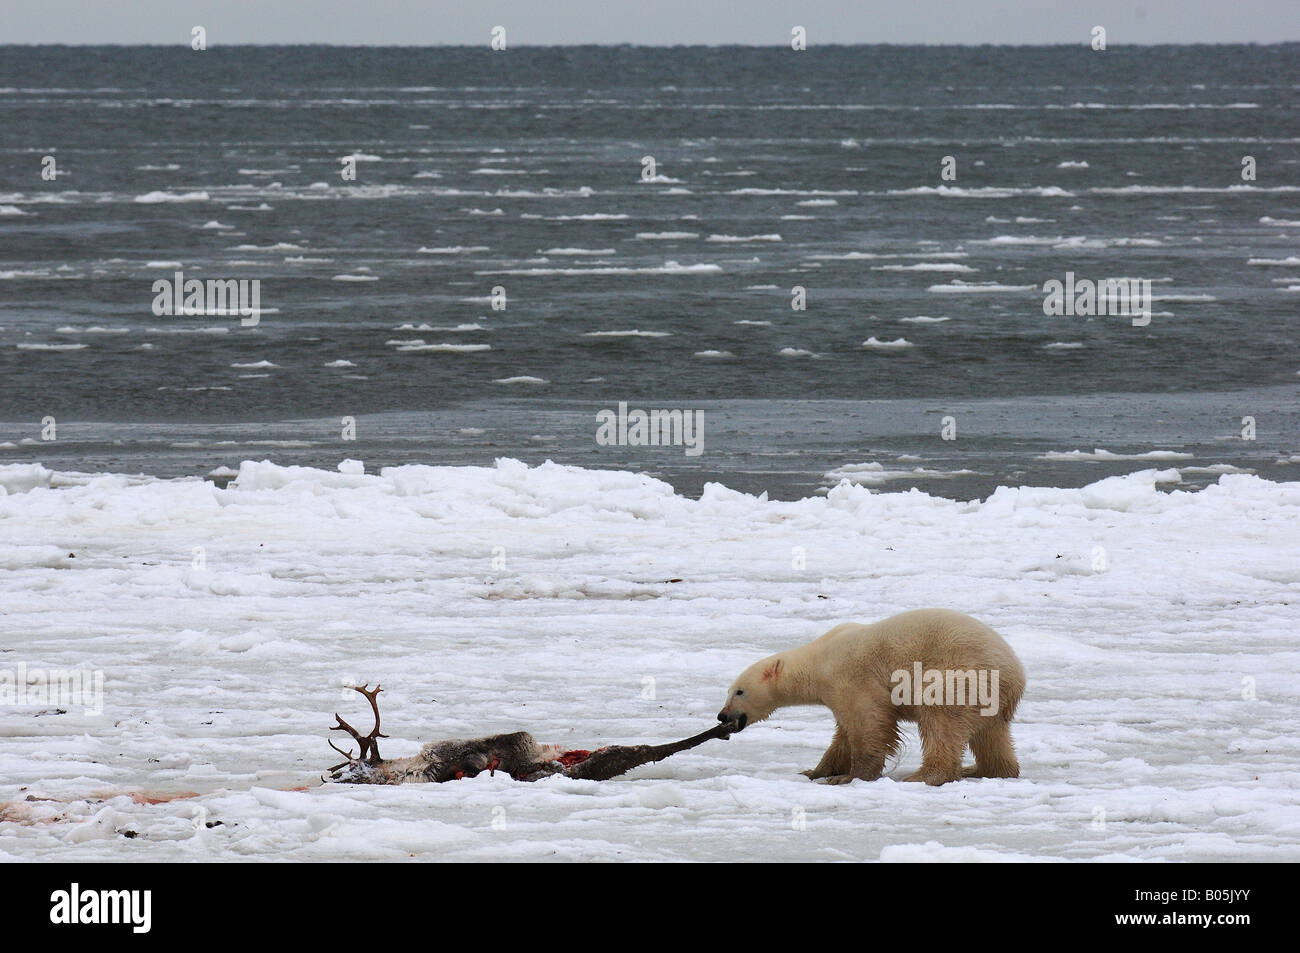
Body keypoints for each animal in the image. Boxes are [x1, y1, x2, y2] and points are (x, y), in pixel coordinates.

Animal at [716, 608, 1025, 785]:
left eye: (739, 691)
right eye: (728, 692)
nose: (722, 715)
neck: (820, 659)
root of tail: (1015, 671)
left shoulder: (851, 678)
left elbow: (869, 725)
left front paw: (849, 776)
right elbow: (842, 735)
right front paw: (815, 771)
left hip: (959, 674)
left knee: (941, 720)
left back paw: (925, 776)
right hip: (991, 696)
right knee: (991, 733)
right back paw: (988, 769)